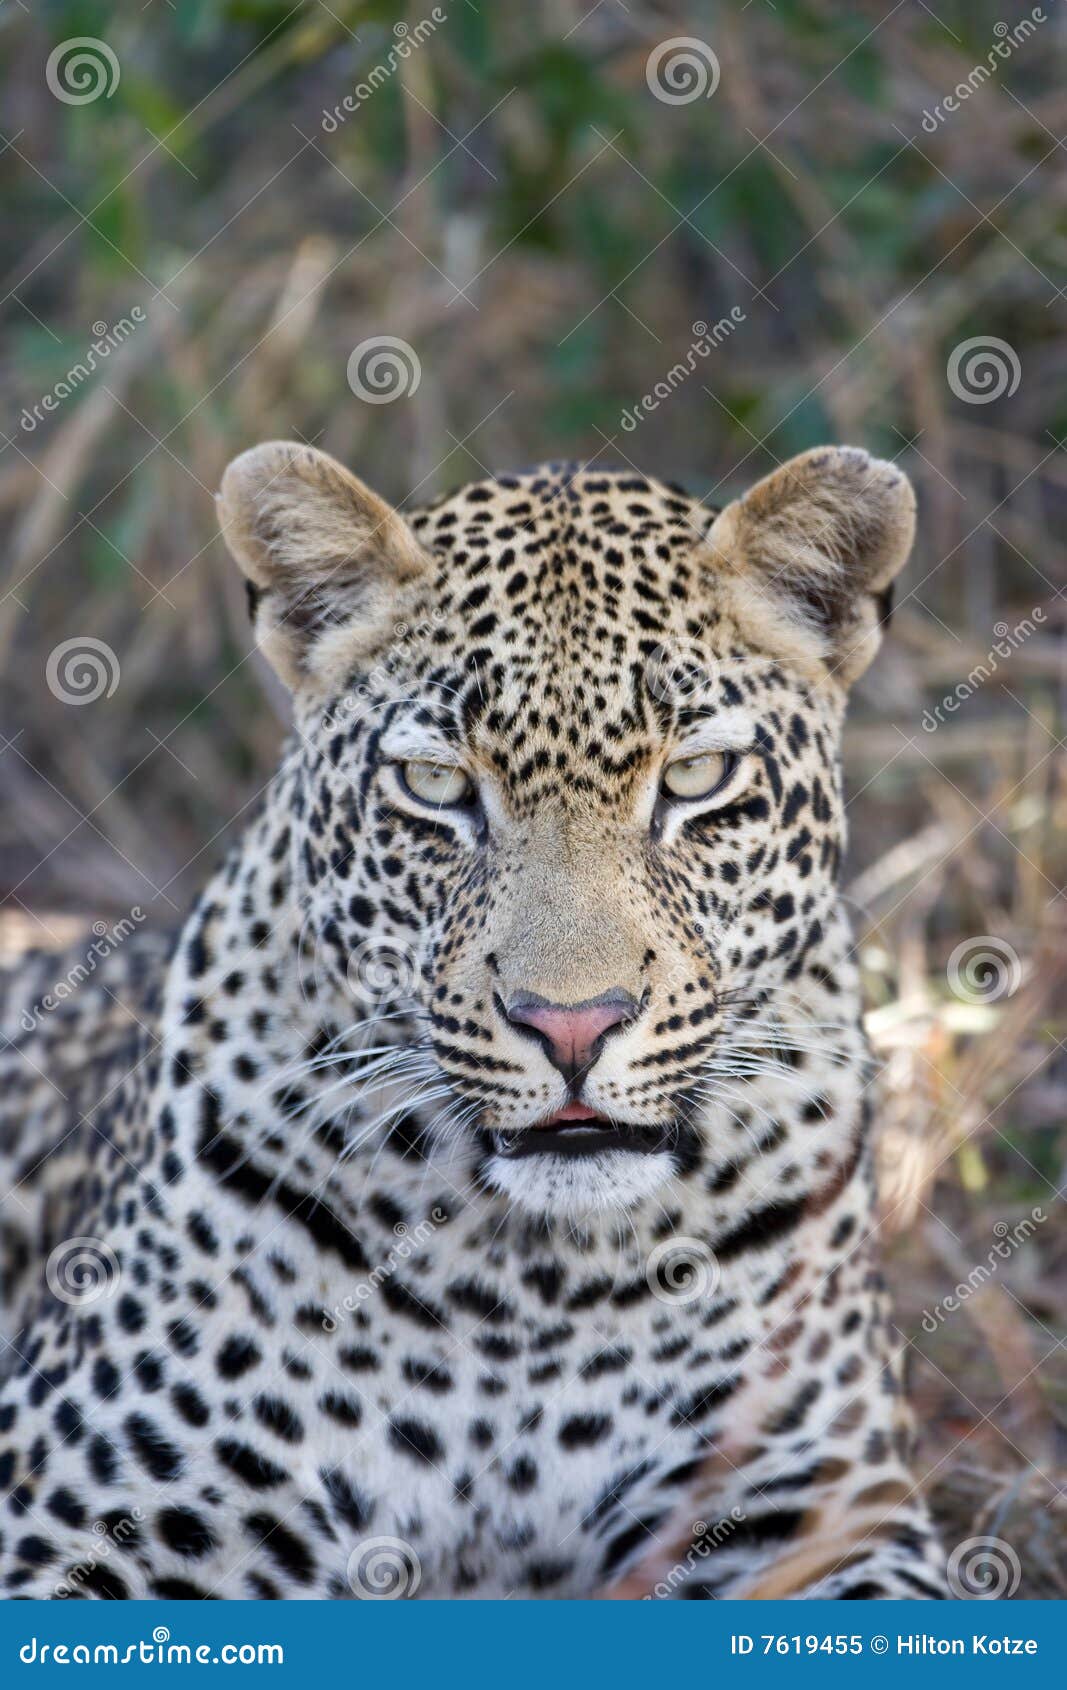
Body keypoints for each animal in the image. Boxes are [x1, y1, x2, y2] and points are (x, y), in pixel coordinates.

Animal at [0, 440, 948, 1600]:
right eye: (433, 785)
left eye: (696, 776)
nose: (573, 1026)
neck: (528, 1290)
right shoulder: (88, 1518)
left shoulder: (823, 1514)